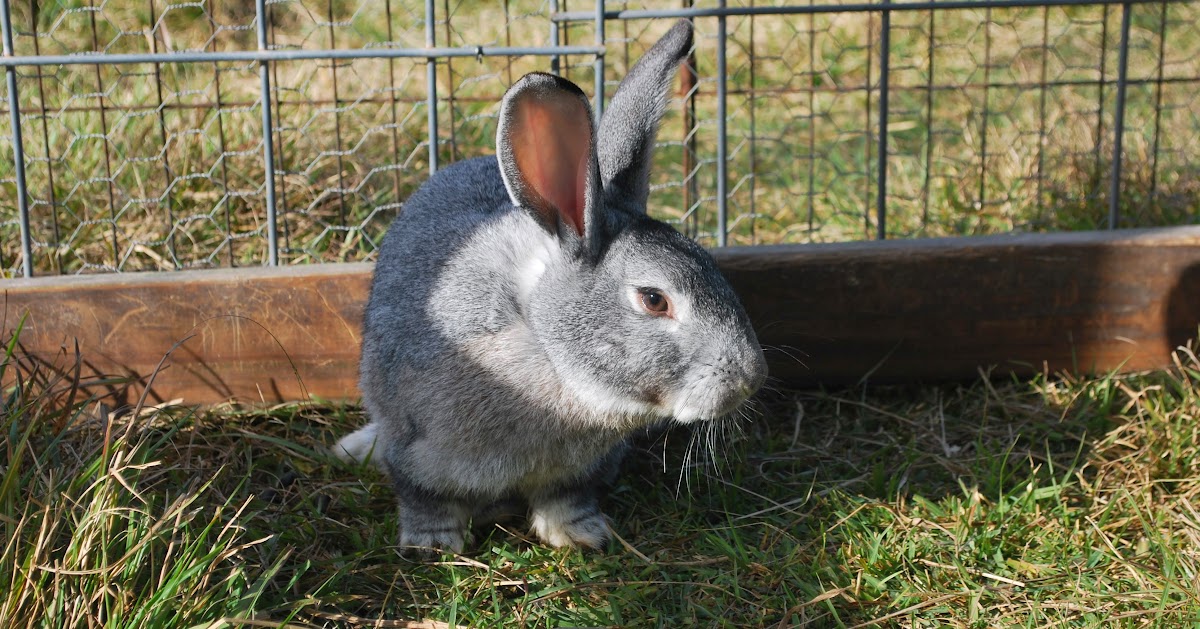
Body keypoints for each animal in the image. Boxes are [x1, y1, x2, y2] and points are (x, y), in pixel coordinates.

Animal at [334, 19, 767, 553]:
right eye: (654, 300)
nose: (751, 377)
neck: (544, 344)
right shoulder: (414, 449)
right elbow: (424, 497)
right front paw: (431, 544)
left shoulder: (575, 474)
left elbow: (566, 499)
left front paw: (580, 534)